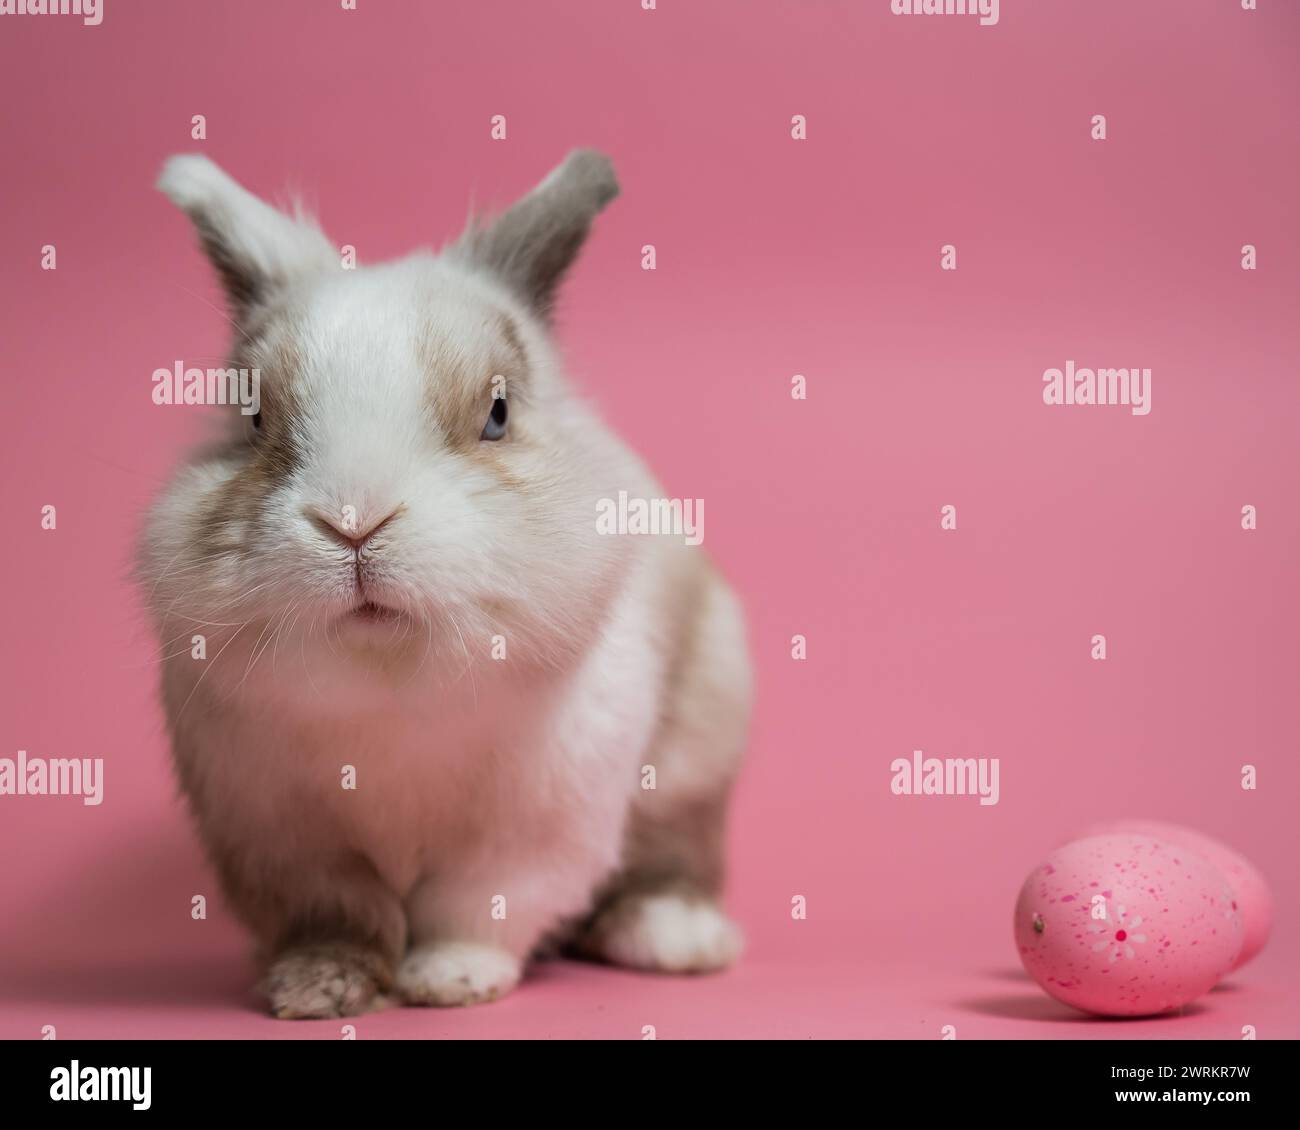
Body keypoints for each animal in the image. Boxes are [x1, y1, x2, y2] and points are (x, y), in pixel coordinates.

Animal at [139, 149, 752, 1017]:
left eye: (497, 414)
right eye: (252, 420)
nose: (354, 521)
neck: (390, 686)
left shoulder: (532, 830)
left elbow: (480, 902)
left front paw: (450, 980)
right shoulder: (279, 837)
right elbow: (338, 914)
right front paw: (316, 989)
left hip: (697, 748)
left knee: (677, 849)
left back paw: (672, 935)